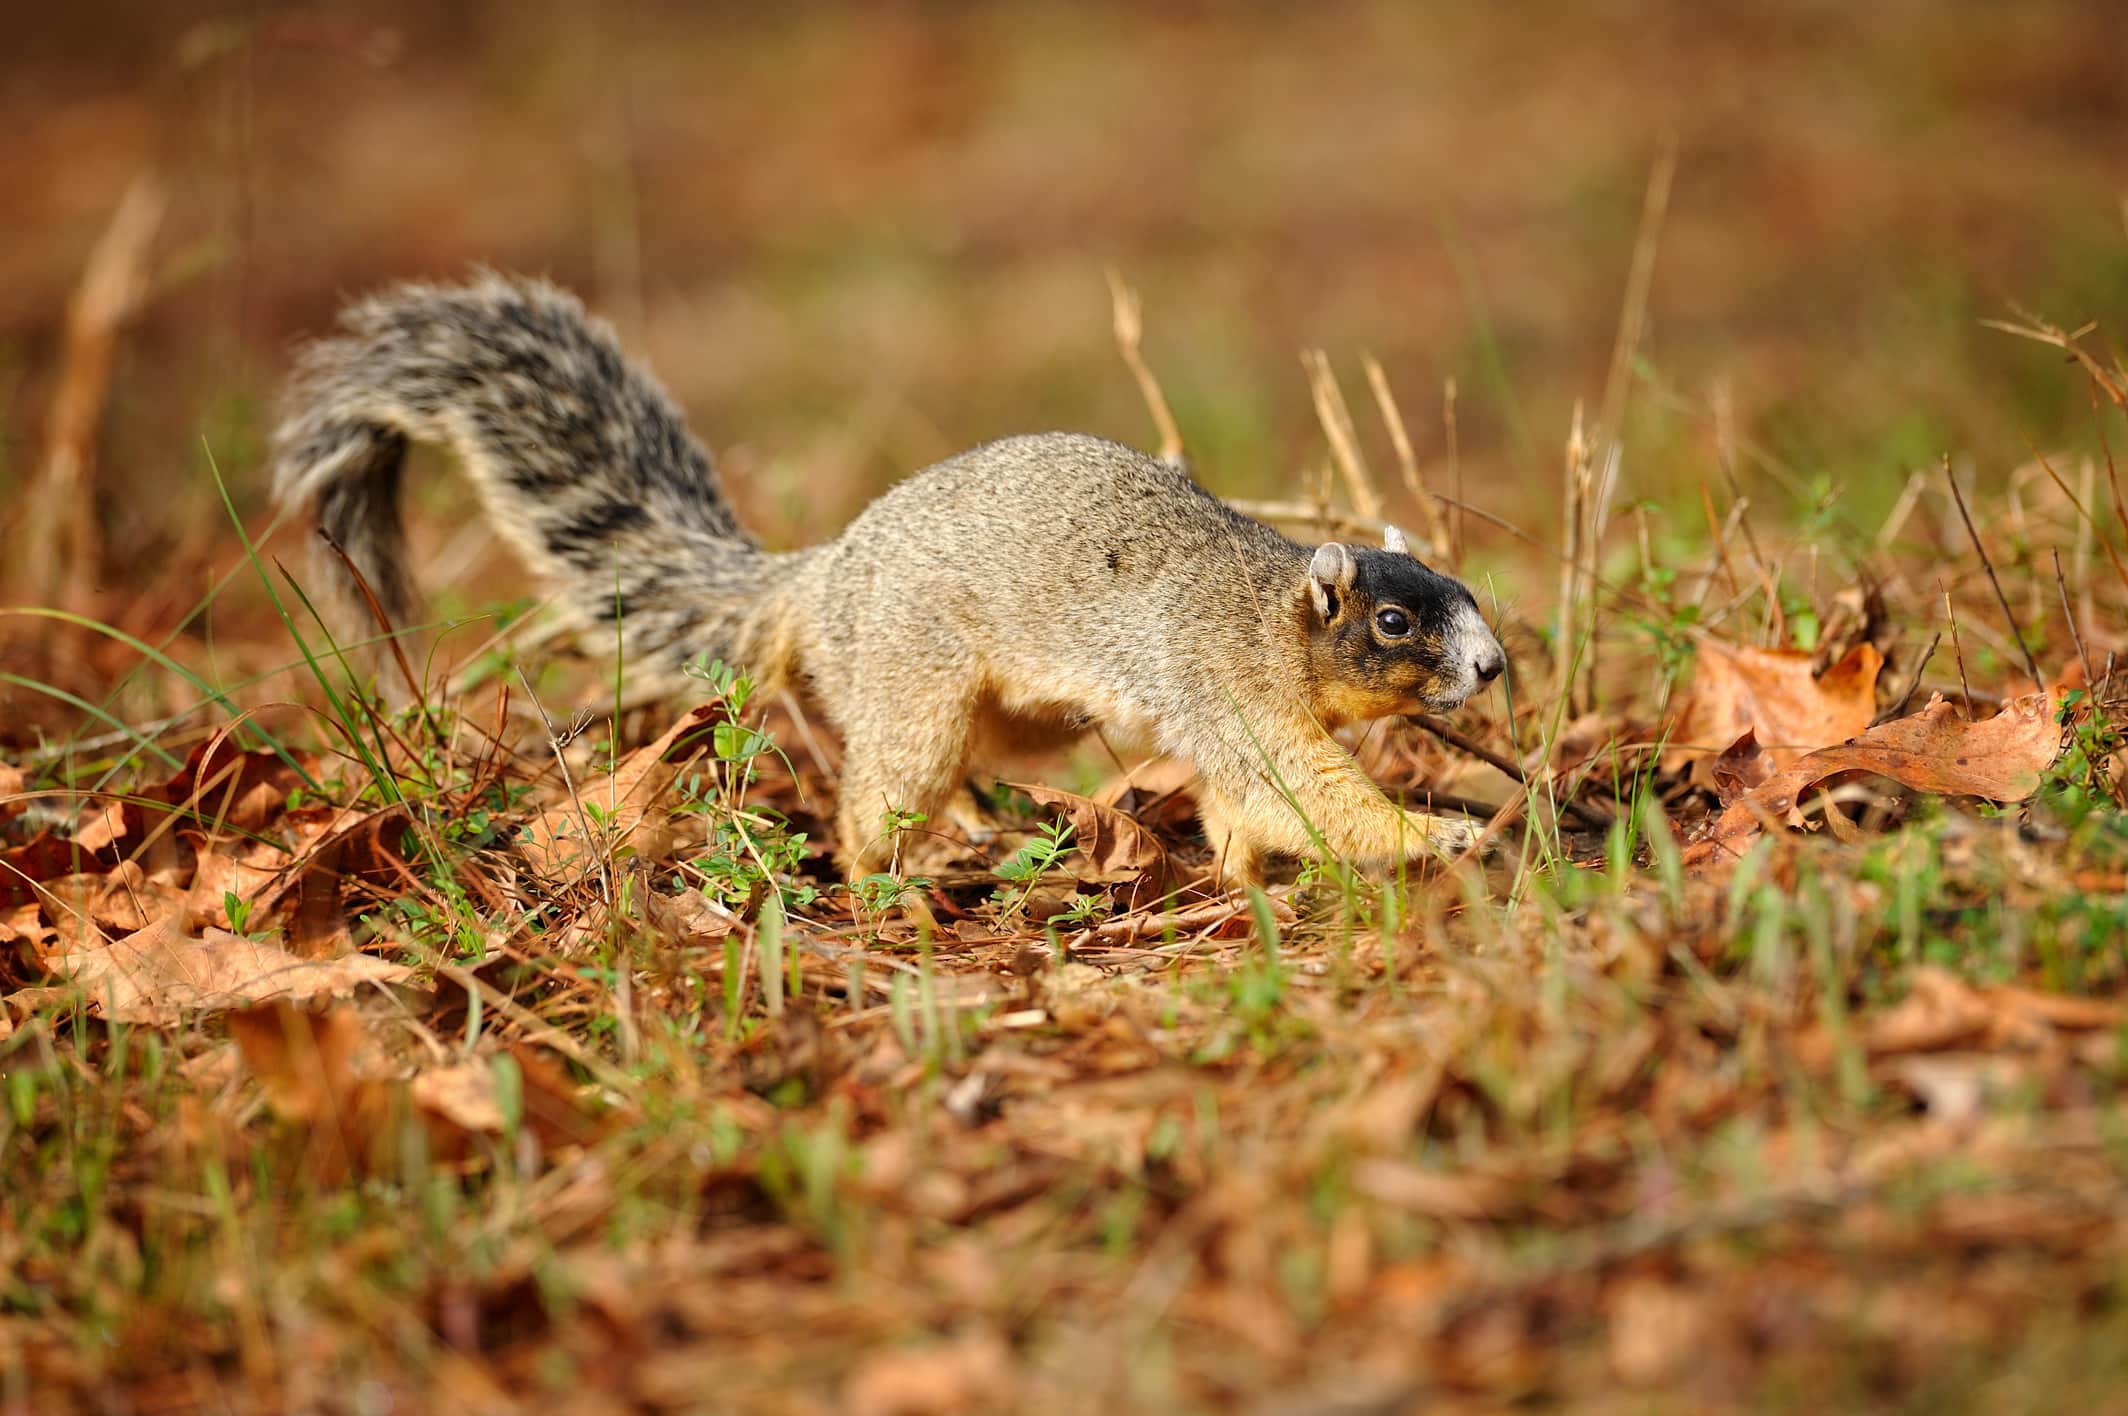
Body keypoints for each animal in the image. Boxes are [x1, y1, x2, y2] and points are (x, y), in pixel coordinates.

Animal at [272, 273, 1507, 883]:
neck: (1266, 613)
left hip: (1010, 710)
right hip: (914, 675)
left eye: (1463, 594)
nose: (1494, 665)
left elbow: (1243, 811)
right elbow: (1297, 793)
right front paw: (1437, 839)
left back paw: (976, 829)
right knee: (880, 787)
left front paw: (1244, 879)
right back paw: (881, 873)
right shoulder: (1232, 694)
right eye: (1395, 622)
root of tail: (819, 578)